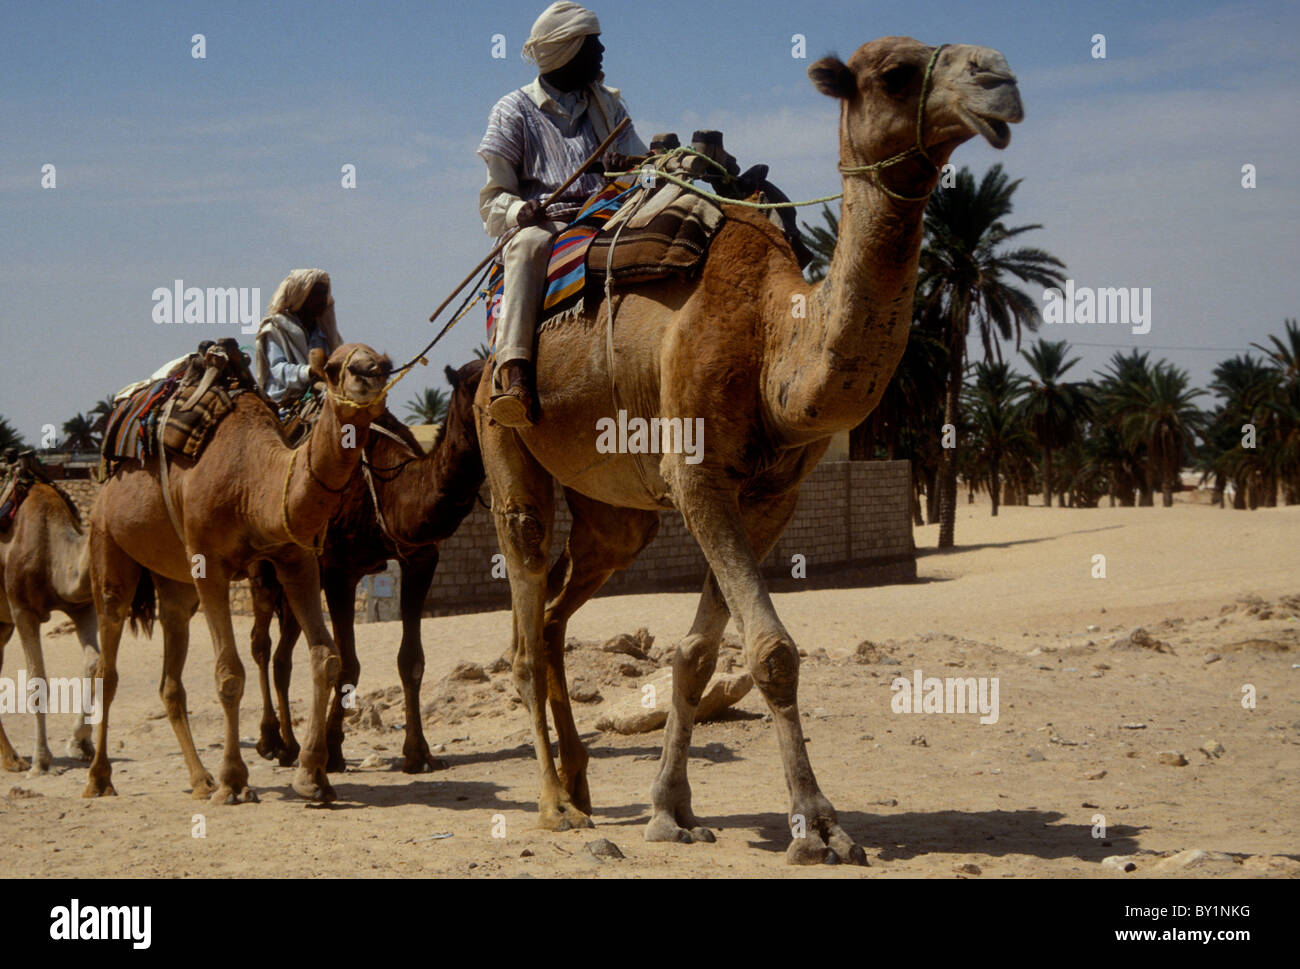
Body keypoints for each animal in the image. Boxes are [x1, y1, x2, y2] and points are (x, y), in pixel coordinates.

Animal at [0, 480, 99, 773]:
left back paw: (12, 760)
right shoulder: (22, 610)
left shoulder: (82, 605)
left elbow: (94, 663)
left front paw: (80, 744)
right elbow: (37, 681)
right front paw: (41, 760)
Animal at [86, 342, 391, 804]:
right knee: (107, 660)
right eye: (336, 367)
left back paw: (199, 780)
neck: (253, 484)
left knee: (170, 673)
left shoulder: (297, 559)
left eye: (386, 364)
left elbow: (326, 657)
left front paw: (313, 776)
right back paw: (99, 778)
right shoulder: (208, 565)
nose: (369, 372)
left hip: (174, 583)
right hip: (108, 544)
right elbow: (229, 673)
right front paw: (234, 780)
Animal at [247, 359, 486, 774]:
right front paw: (332, 751)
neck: (391, 490)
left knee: (282, 658)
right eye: (476, 381)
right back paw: (269, 740)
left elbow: (411, 660)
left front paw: (418, 753)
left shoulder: (421, 558)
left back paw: (290, 746)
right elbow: (348, 664)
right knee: (261, 645)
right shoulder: (339, 570)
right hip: (263, 567)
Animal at [476, 37, 1023, 863]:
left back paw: (581, 784)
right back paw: (553, 804)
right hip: (504, 440)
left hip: (615, 515)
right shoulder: (699, 475)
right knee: (524, 616)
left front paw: (669, 809)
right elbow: (771, 652)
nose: (1001, 81)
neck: (774, 344)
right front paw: (818, 825)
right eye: (895, 74)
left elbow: (697, 655)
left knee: (555, 616)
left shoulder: (769, 495)